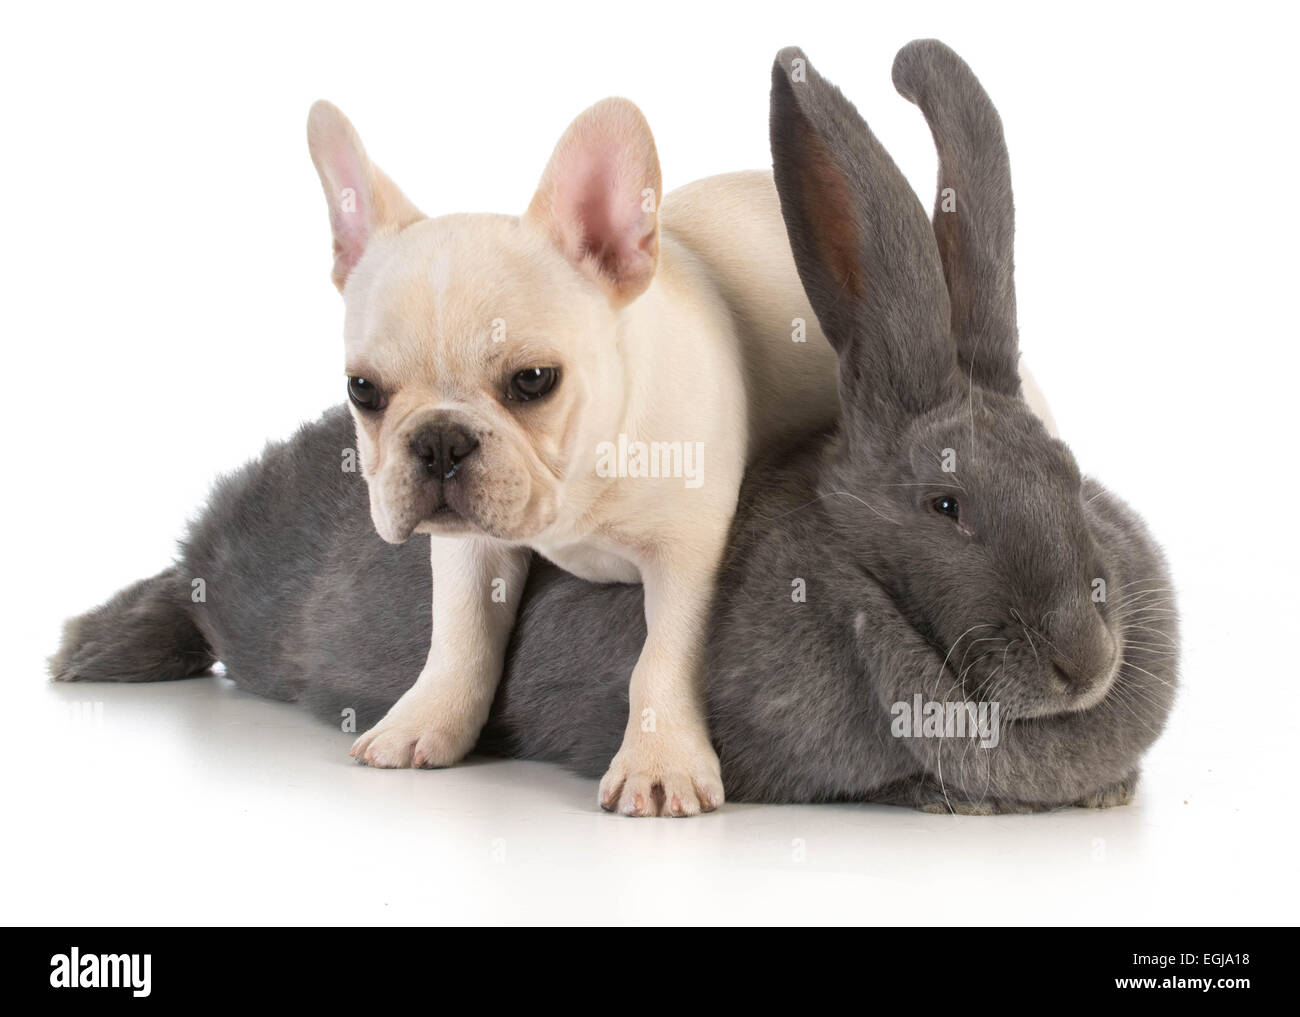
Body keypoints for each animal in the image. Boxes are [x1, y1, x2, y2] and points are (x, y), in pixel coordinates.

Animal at [51, 40, 1179, 813]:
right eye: (944, 506)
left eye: (1070, 478)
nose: (1085, 663)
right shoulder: (471, 554)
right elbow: (462, 640)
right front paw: (422, 732)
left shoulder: (689, 545)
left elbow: (661, 654)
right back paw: (95, 643)